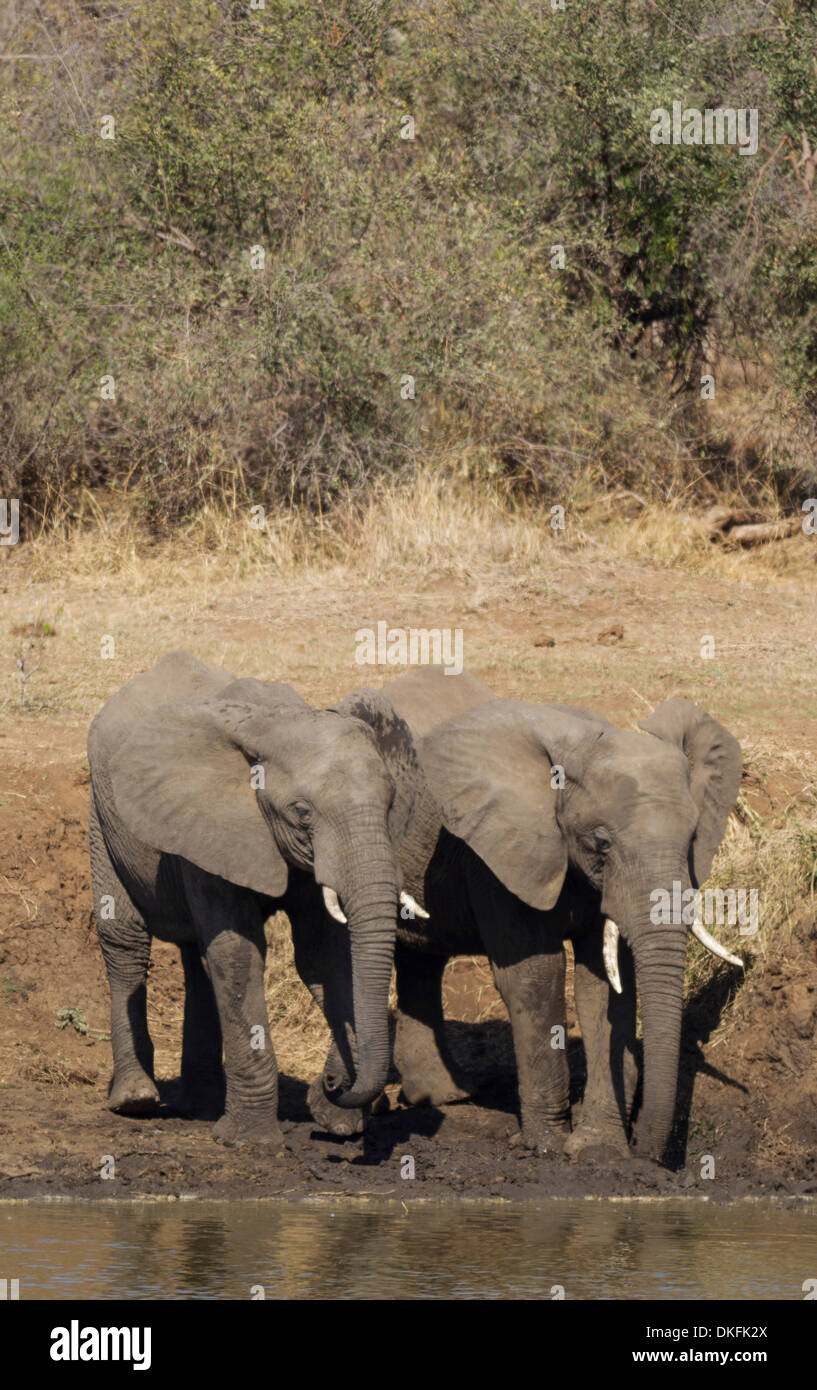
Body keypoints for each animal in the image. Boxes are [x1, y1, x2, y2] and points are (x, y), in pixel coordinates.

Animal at [87, 649, 427, 1147]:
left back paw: (200, 1104)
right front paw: (248, 1141)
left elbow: (322, 956)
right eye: (302, 813)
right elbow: (239, 954)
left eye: (389, 805)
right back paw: (135, 1099)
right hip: (102, 815)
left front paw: (339, 1125)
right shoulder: (209, 820)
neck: (271, 723)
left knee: (195, 956)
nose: (331, 1085)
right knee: (125, 942)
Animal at [308, 667, 743, 1163]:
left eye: (693, 838)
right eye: (601, 841)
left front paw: (598, 1149)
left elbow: (604, 985)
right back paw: (339, 1117)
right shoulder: (498, 852)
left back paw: (438, 1097)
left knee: (421, 960)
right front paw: (547, 1146)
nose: (648, 1157)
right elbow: (535, 975)